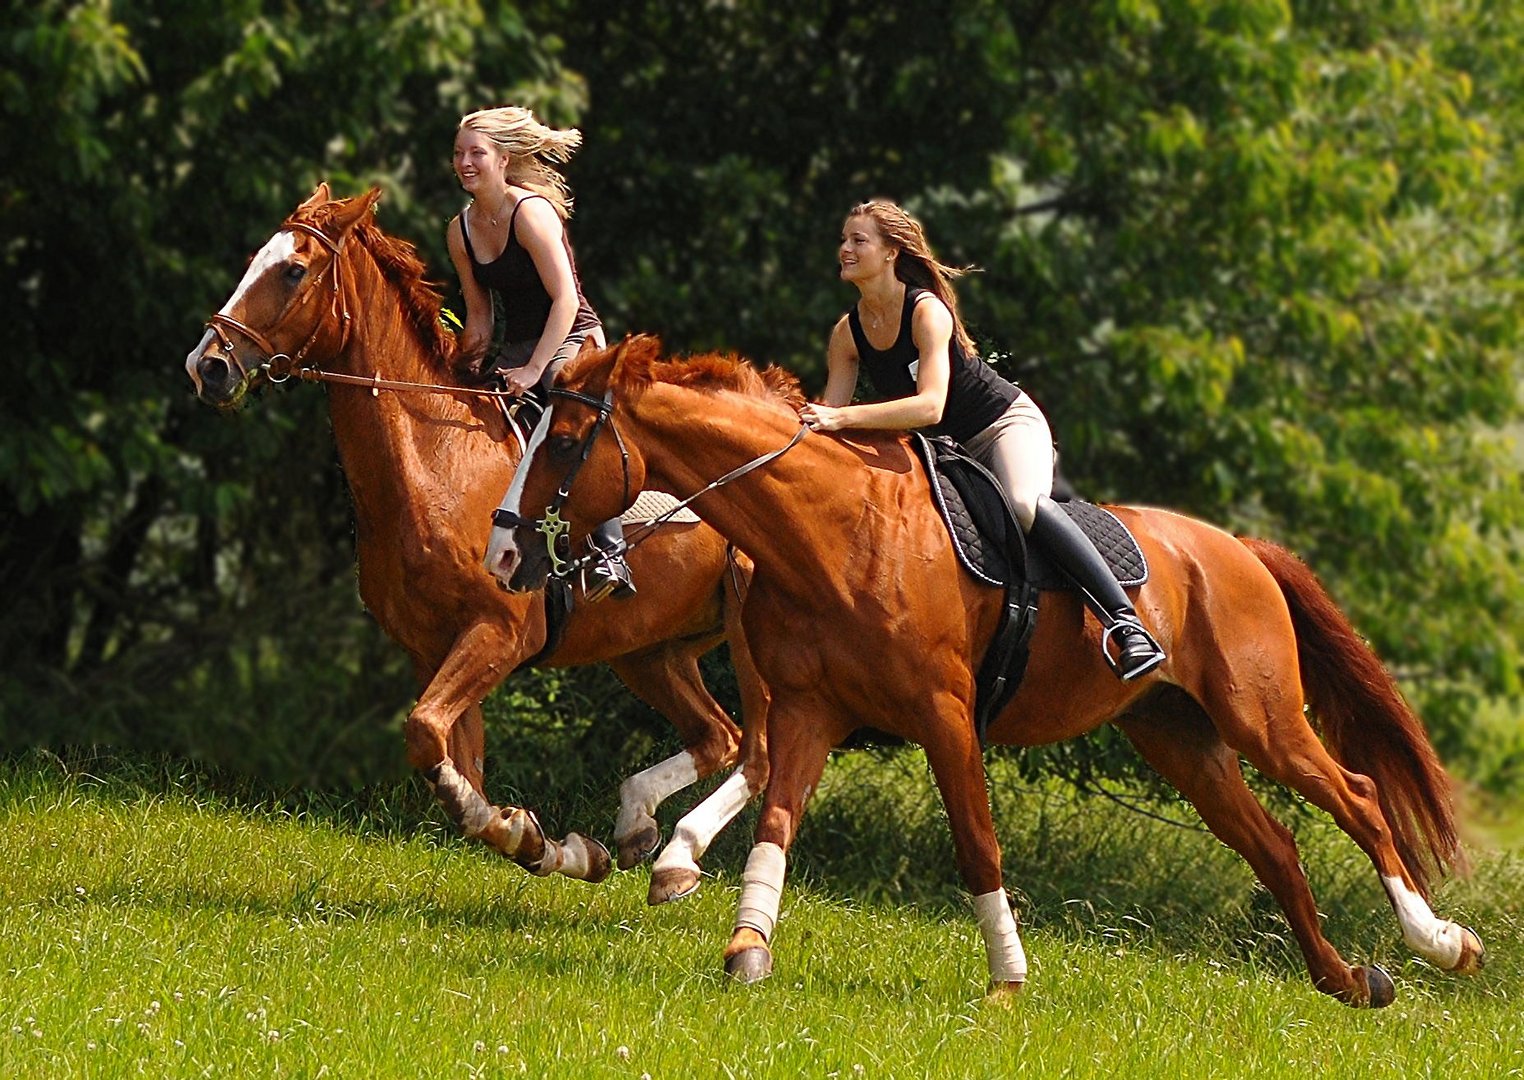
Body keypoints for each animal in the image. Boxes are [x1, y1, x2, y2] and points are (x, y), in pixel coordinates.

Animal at [183, 186, 770, 886]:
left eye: (293, 270)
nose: (208, 366)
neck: (434, 462)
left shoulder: (500, 633)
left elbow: (426, 734)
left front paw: (532, 837)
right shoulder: (432, 647)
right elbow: (453, 759)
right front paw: (549, 844)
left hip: (750, 637)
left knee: (757, 753)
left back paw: (677, 854)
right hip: (650, 652)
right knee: (717, 737)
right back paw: (635, 826)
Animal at [484, 334, 1485, 1007]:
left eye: (564, 443)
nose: (503, 556)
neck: (828, 531)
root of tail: (1241, 551)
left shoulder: (943, 713)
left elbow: (977, 843)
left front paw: (1008, 980)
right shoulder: (810, 708)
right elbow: (776, 820)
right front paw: (745, 947)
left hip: (1261, 718)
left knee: (1358, 797)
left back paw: (1440, 942)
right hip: (1178, 737)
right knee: (1274, 846)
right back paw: (1348, 980)